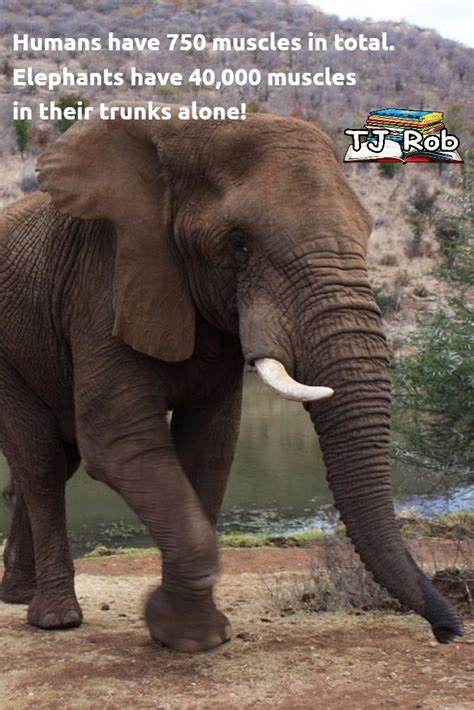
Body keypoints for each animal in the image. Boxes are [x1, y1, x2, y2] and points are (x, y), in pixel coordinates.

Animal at [0, 102, 463, 652]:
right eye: (239, 245)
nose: (448, 632)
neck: (185, 130)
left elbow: (210, 447)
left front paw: (195, 635)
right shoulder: (103, 277)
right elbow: (121, 444)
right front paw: (180, 631)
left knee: (56, 460)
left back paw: (19, 597)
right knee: (42, 463)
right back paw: (56, 618)